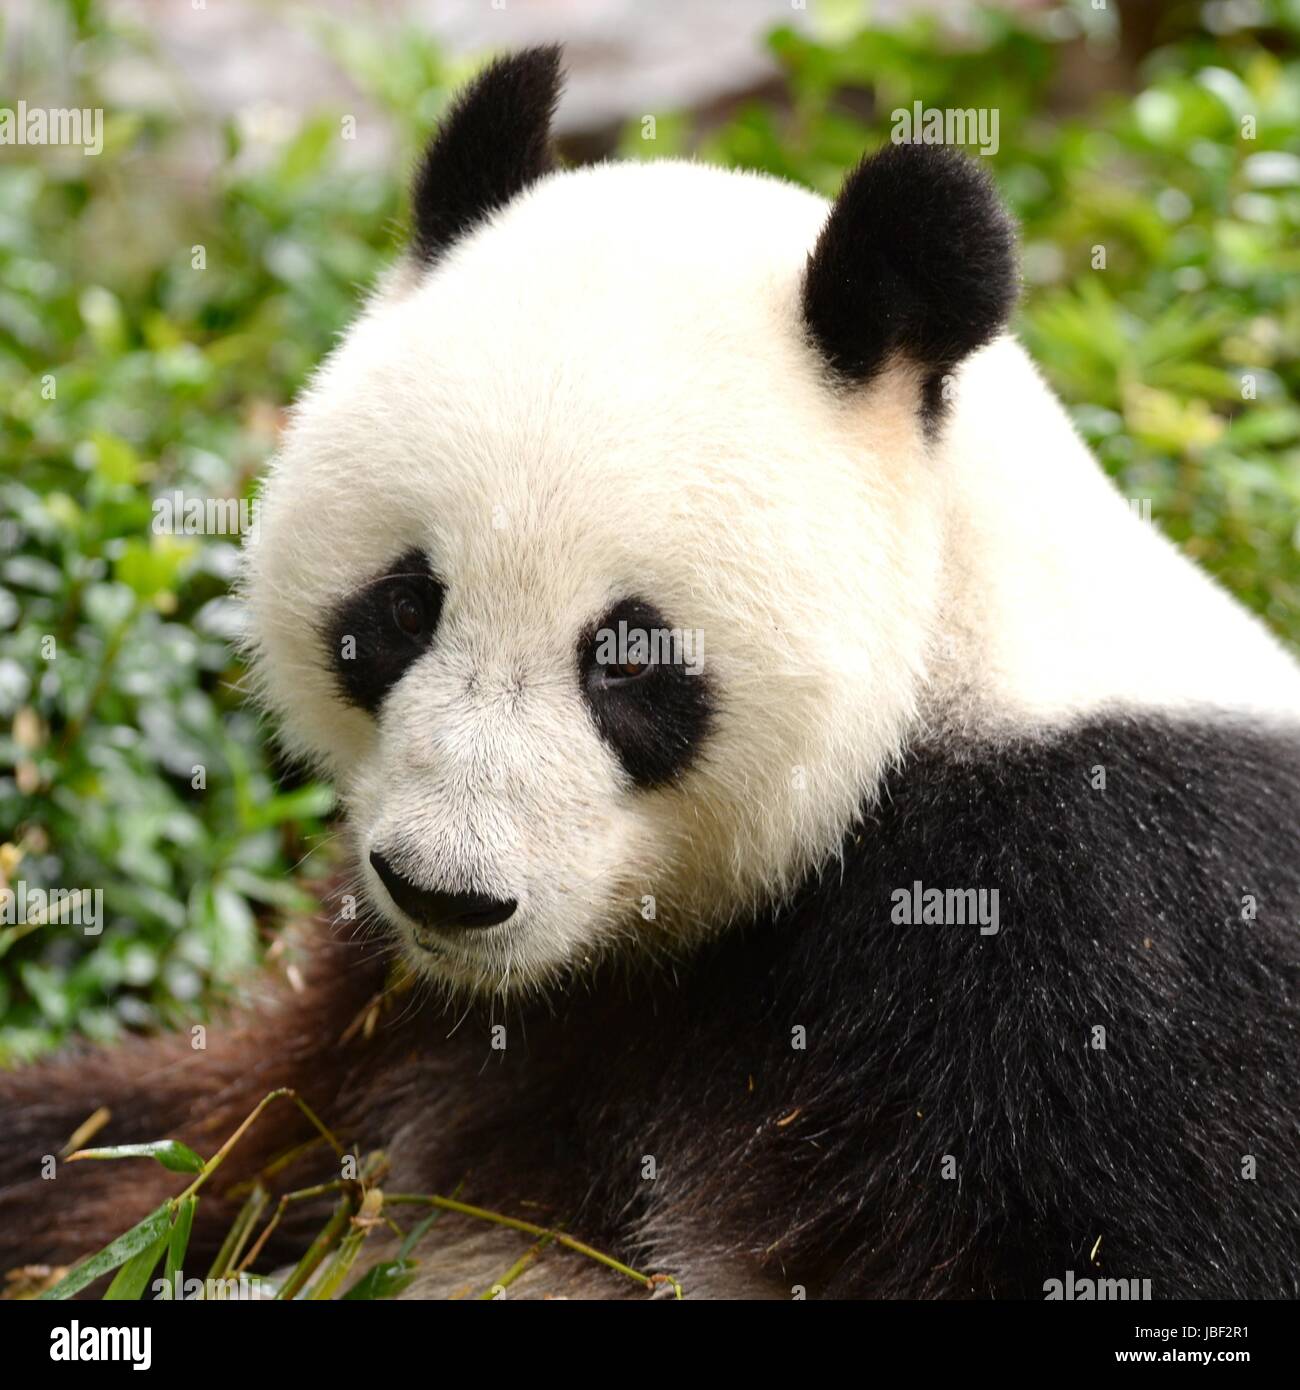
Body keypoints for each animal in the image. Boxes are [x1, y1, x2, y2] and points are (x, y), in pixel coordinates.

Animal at [2, 45, 1298, 1301]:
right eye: (406, 606)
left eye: (627, 660)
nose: (445, 892)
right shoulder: (404, 1015)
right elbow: (203, 1145)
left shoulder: (1114, 943)